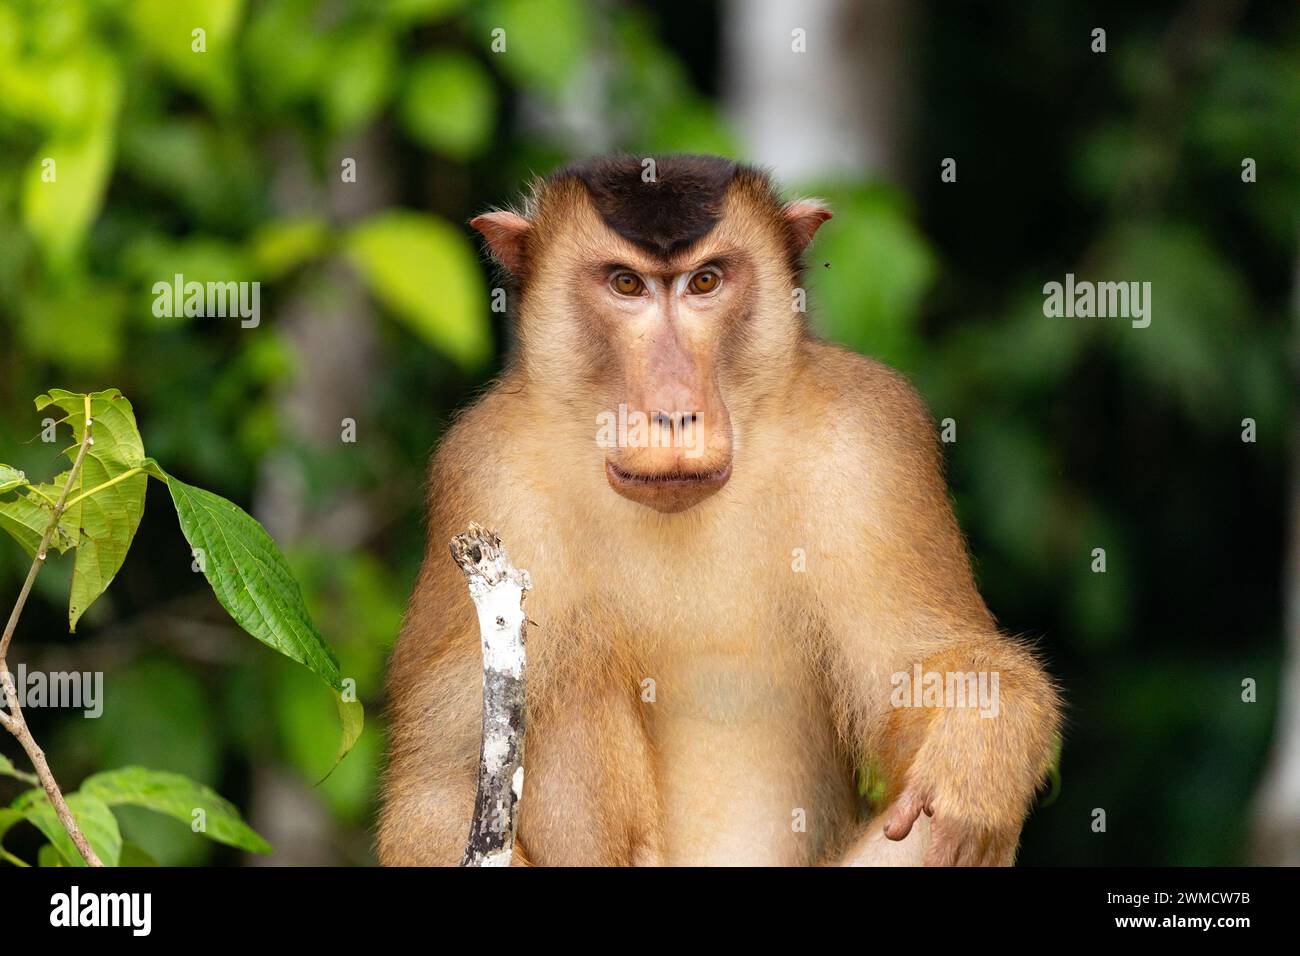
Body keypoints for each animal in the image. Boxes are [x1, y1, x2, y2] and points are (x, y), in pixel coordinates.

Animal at [378, 154, 1060, 867]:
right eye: (626, 284)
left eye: (704, 281)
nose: (675, 411)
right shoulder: (485, 472)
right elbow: (437, 781)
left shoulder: (871, 441)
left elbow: (916, 686)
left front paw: (981, 743)